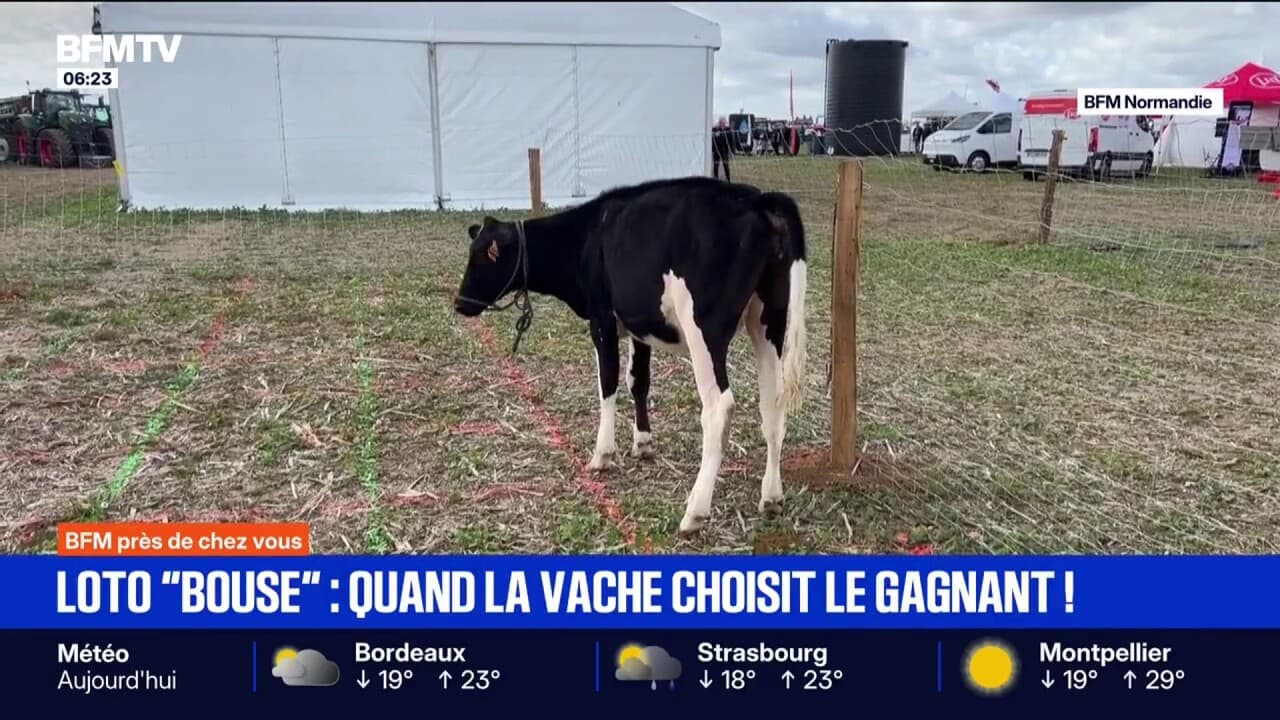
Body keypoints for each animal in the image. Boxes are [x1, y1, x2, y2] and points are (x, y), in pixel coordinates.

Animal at [453, 176, 807, 536]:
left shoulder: (601, 318)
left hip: (704, 329)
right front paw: (643, 443)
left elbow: (607, 381)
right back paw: (771, 497)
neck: (587, 234)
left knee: (718, 407)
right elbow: (638, 380)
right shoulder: (641, 324)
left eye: (481, 259)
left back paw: (695, 511)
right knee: (772, 402)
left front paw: (603, 455)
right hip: (769, 319)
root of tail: (757, 198)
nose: (460, 303)